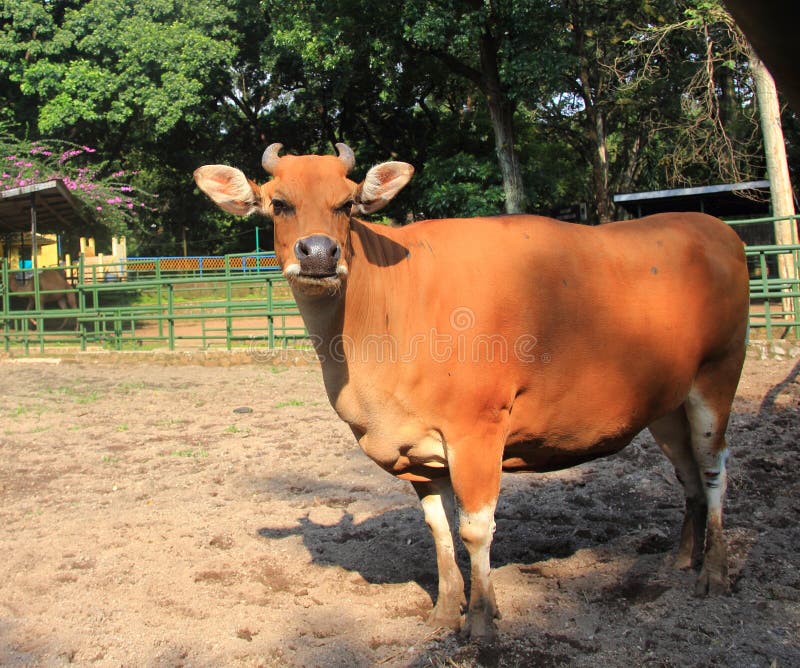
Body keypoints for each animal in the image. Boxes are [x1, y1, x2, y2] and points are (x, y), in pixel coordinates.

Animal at [194, 144, 750, 641]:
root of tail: (718, 231)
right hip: (665, 404)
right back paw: (681, 558)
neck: (385, 315)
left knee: (714, 470)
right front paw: (445, 611)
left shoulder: (477, 431)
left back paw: (715, 572)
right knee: (687, 475)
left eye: (347, 204)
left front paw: (482, 621)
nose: (318, 254)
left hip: (718, 377)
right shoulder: (418, 452)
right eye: (279, 203)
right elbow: (440, 531)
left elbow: (475, 530)